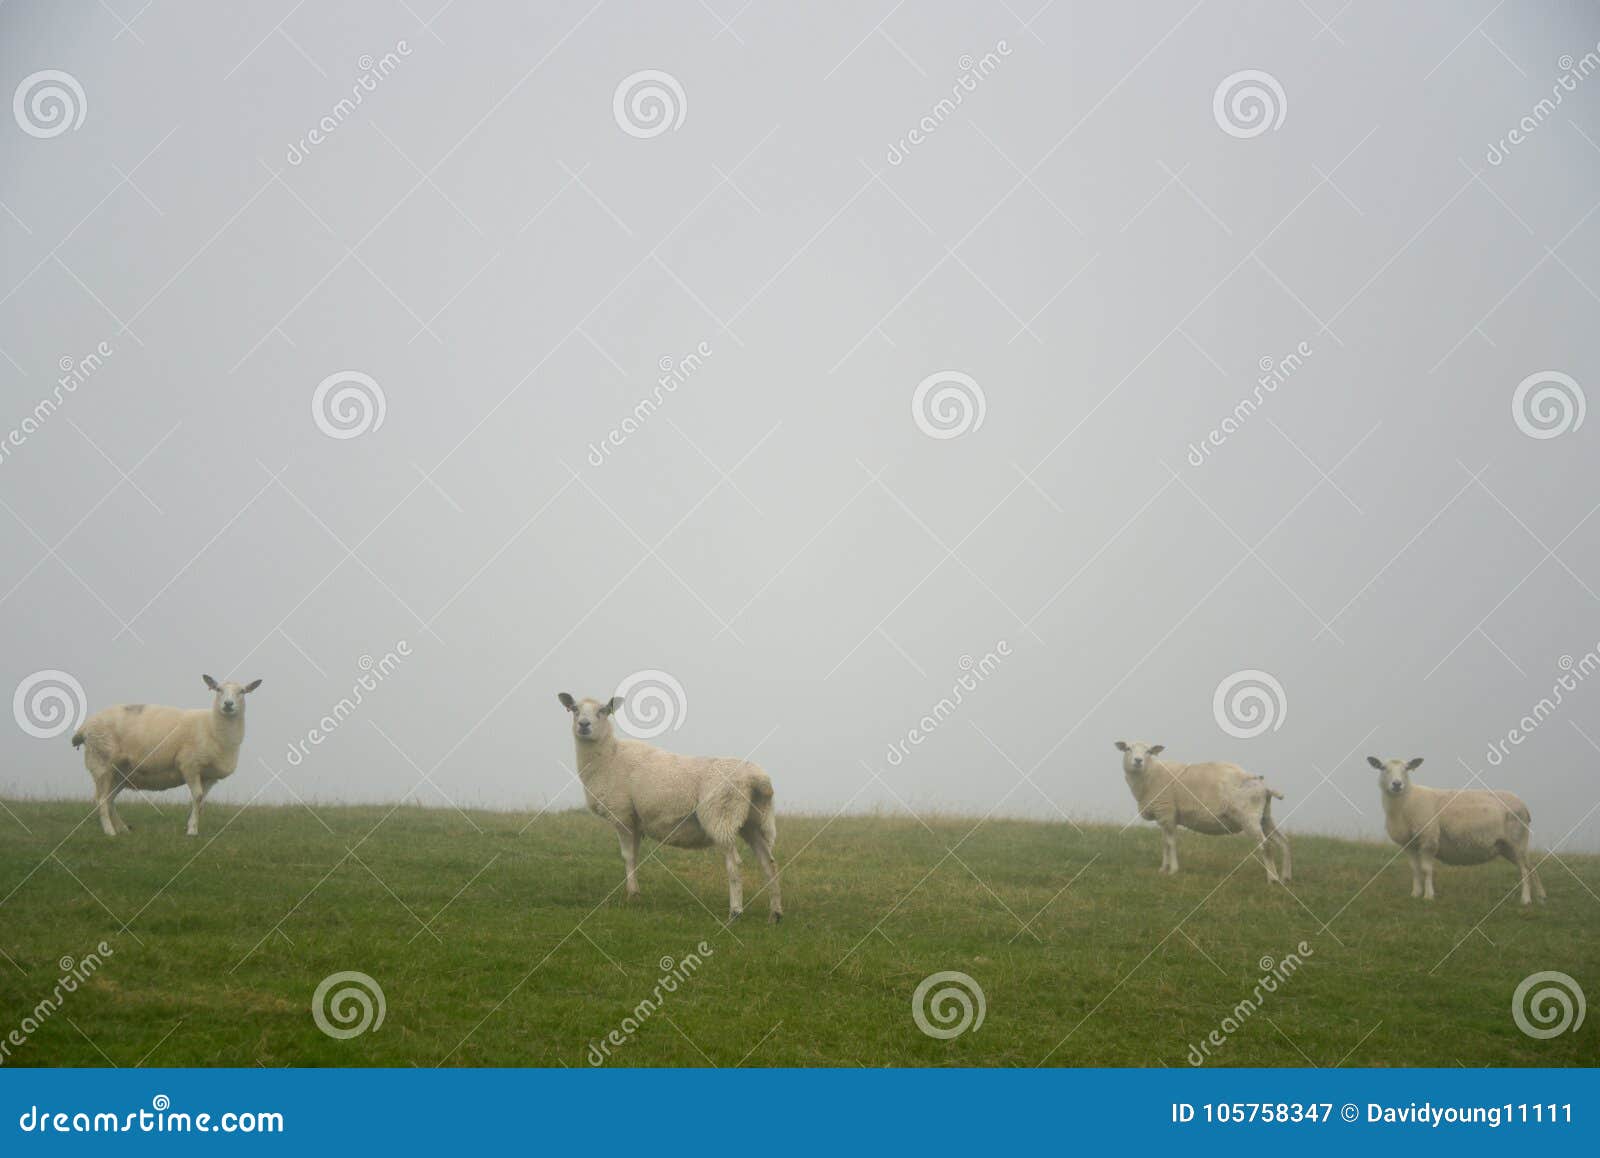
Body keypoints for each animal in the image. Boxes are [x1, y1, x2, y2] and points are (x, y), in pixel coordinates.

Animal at [70, 675, 262, 838]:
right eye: (218, 689)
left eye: (242, 691)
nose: (228, 704)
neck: (212, 726)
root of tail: (85, 727)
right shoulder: (189, 764)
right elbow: (198, 796)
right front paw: (192, 830)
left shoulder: (209, 776)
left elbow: (201, 802)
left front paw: (192, 824)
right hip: (101, 762)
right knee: (101, 800)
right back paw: (110, 831)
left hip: (120, 774)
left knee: (109, 799)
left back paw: (123, 828)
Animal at [557, 691, 782, 923]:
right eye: (574, 709)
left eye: (603, 711)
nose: (584, 725)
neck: (609, 758)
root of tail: (757, 779)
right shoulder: (636, 821)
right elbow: (634, 856)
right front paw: (635, 893)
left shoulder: (622, 814)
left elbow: (627, 856)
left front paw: (632, 894)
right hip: (754, 821)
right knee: (769, 862)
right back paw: (775, 914)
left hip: (721, 816)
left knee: (734, 863)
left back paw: (735, 912)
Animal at [1115, 740, 1291, 883]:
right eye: (1128, 749)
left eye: (1149, 751)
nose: (1138, 761)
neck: (1150, 774)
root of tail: (1264, 787)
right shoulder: (1164, 817)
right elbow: (1165, 843)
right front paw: (1163, 869)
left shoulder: (1166, 812)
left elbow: (1171, 843)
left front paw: (1173, 870)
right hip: (1264, 817)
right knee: (1283, 842)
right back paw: (1285, 877)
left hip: (1249, 817)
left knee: (1266, 845)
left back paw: (1272, 879)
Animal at [1367, 756, 1545, 904]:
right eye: (1383, 768)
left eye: (1407, 768)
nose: (1397, 784)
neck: (1406, 801)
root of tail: (1523, 806)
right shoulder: (1408, 845)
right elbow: (1415, 870)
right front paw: (1415, 894)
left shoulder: (1429, 840)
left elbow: (1426, 870)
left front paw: (1428, 896)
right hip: (1507, 846)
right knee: (1530, 867)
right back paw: (1540, 896)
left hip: (1517, 841)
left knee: (1524, 870)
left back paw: (1526, 899)